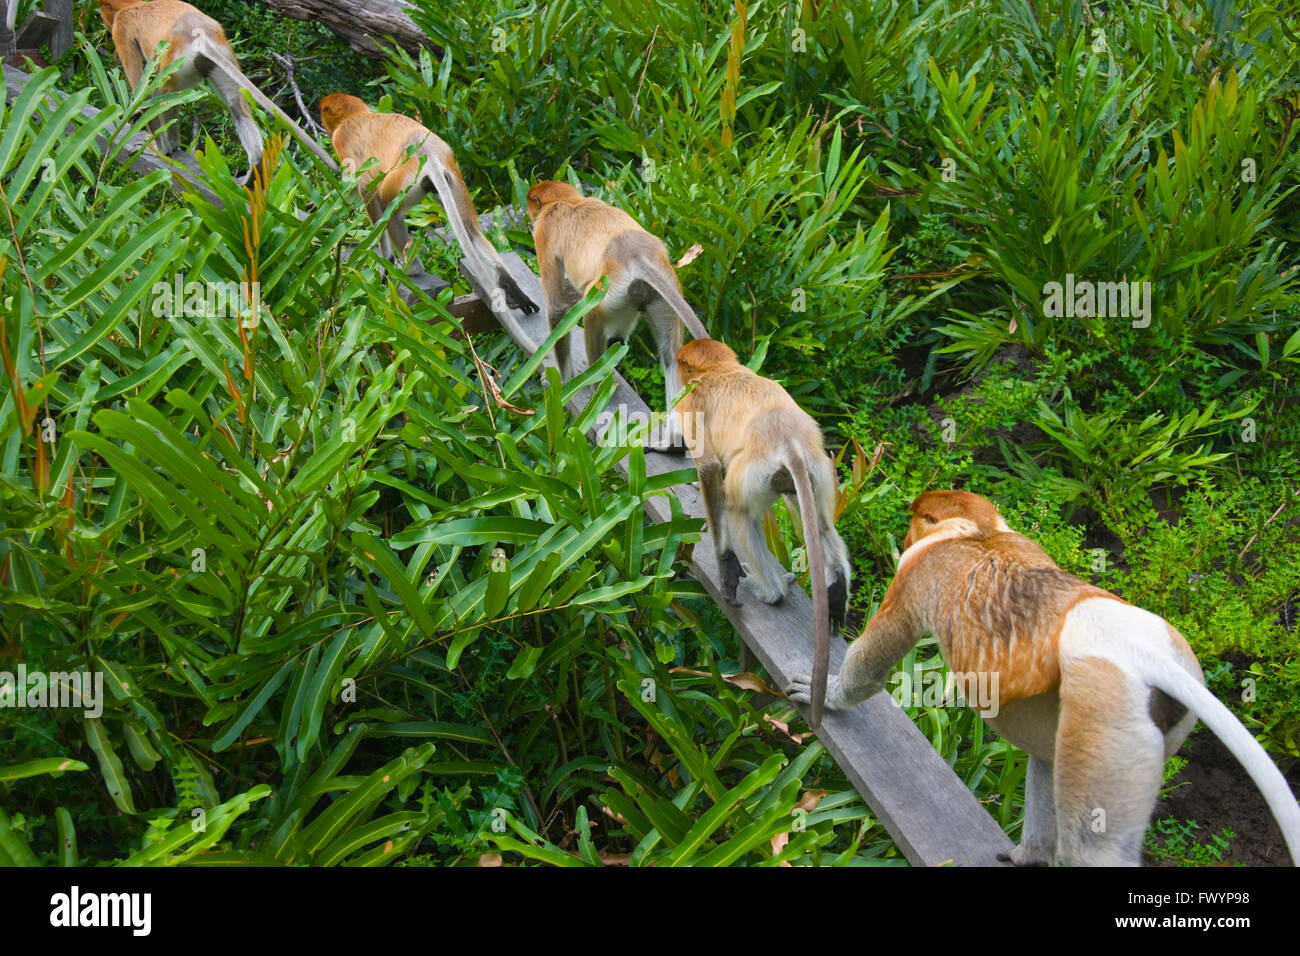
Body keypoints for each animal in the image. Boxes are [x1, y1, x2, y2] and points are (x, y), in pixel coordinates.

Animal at [99, 0, 337, 185]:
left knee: (163, 95)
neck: (135, 5)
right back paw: (254, 167)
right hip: (223, 55)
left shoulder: (121, 27)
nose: (104, 20)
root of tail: (199, 36)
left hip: (178, 66)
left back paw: (164, 149)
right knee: (236, 105)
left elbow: (141, 90)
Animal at [319, 94, 537, 316]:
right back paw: (510, 286)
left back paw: (410, 268)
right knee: (469, 228)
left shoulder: (342, 139)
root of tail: (428, 154)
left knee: (390, 212)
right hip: (453, 179)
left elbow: (363, 186)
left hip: (403, 181)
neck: (355, 115)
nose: (323, 126)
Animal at [526, 180, 708, 449]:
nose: (529, 219)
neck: (568, 201)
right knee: (670, 356)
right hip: (663, 295)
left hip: (608, 292)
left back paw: (596, 384)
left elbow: (558, 309)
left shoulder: (545, 232)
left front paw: (562, 381)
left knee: (591, 314)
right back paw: (673, 441)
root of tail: (636, 257)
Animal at [675, 338, 851, 729]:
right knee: (821, 523)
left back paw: (769, 592)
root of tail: (788, 441)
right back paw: (836, 590)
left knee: (738, 511)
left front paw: (726, 568)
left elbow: (708, 467)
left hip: (753, 473)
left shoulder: (690, 403)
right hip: (819, 471)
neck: (720, 369)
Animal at [788, 489, 1300, 866]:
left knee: (1094, 847)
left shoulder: (916, 573)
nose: (908, 532)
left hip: (1105, 714)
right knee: (1047, 757)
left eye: (919, 520)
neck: (979, 531)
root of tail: (1136, 651)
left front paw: (825, 694)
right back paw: (1027, 855)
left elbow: (878, 654)